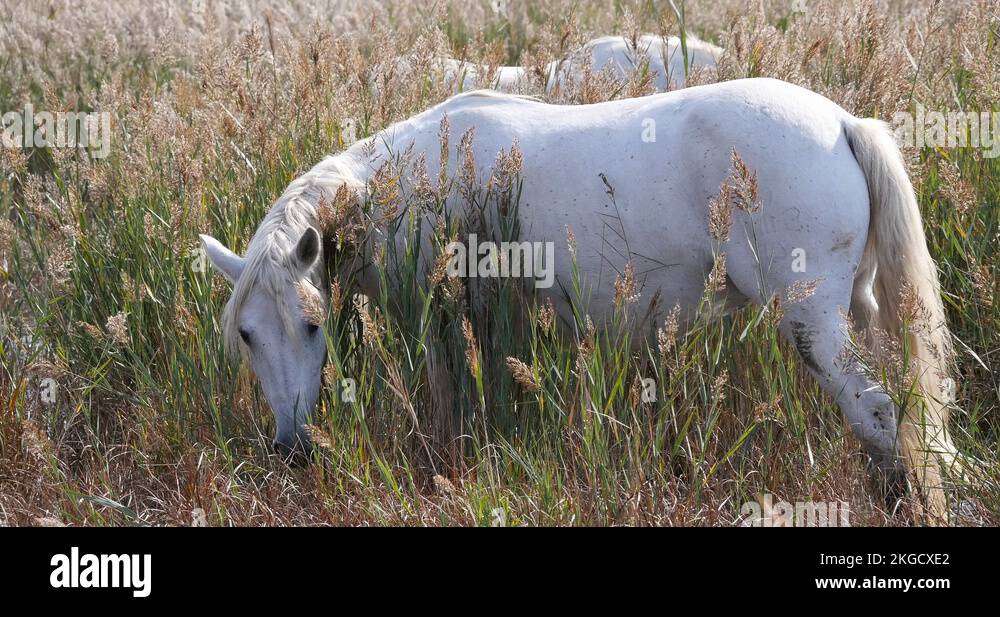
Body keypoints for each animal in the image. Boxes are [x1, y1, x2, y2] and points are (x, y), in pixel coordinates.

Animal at [201, 78, 962, 521]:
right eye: (247, 336)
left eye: (310, 326)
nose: (291, 448)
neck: (417, 182)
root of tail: (843, 123)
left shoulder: (452, 322)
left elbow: (452, 403)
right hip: (855, 313)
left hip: (812, 322)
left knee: (876, 410)